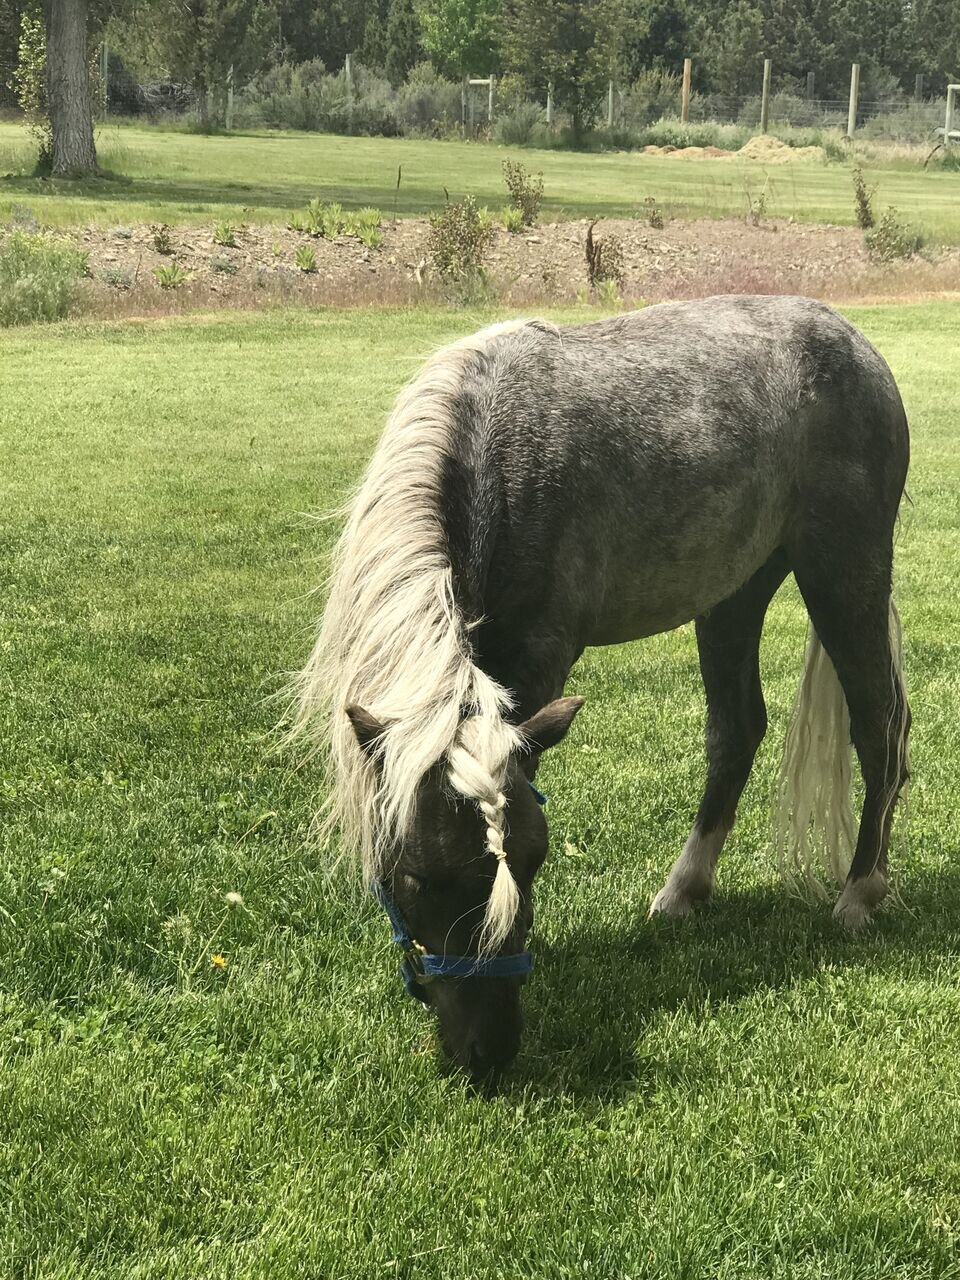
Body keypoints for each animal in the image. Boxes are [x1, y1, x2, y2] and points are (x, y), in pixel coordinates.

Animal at [290, 295, 911, 1082]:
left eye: (532, 863)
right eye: (416, 878)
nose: (488, 1053)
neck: (494, 458)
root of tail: (852, 340)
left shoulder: (537, 656)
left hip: (843, 568)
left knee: (880, 725)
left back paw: (860, 893)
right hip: (735, 591)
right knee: (737, 730)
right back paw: (684, 890)